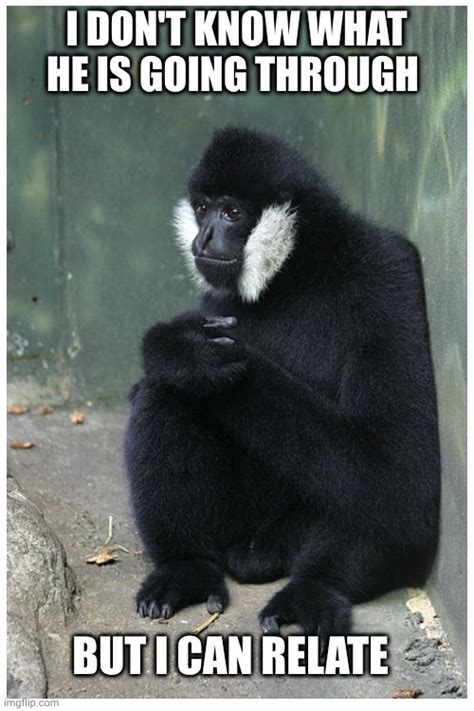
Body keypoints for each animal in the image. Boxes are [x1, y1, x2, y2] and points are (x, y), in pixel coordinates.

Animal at [124, 126, 440, 643]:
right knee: (166, 391)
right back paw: (187, 567)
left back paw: (313, 587)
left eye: (232, 213)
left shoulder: (388, 274)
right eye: (203, 207)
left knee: (377, 484)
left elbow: (399, 462)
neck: (298, 269)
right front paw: (181, 350)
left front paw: (196, 350)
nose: (204, 235)